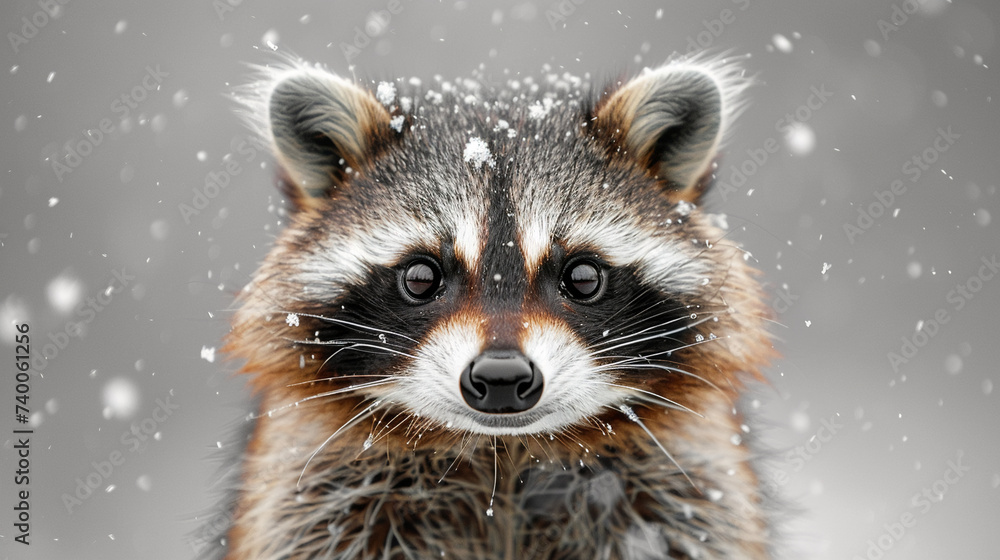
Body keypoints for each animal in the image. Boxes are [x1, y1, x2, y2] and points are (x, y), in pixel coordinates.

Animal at [213, 54, 777, 559]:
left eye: (583, 277)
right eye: (421, 278)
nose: (502, 378)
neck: (502, 453)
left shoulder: (682, 488)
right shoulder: (318, 495)